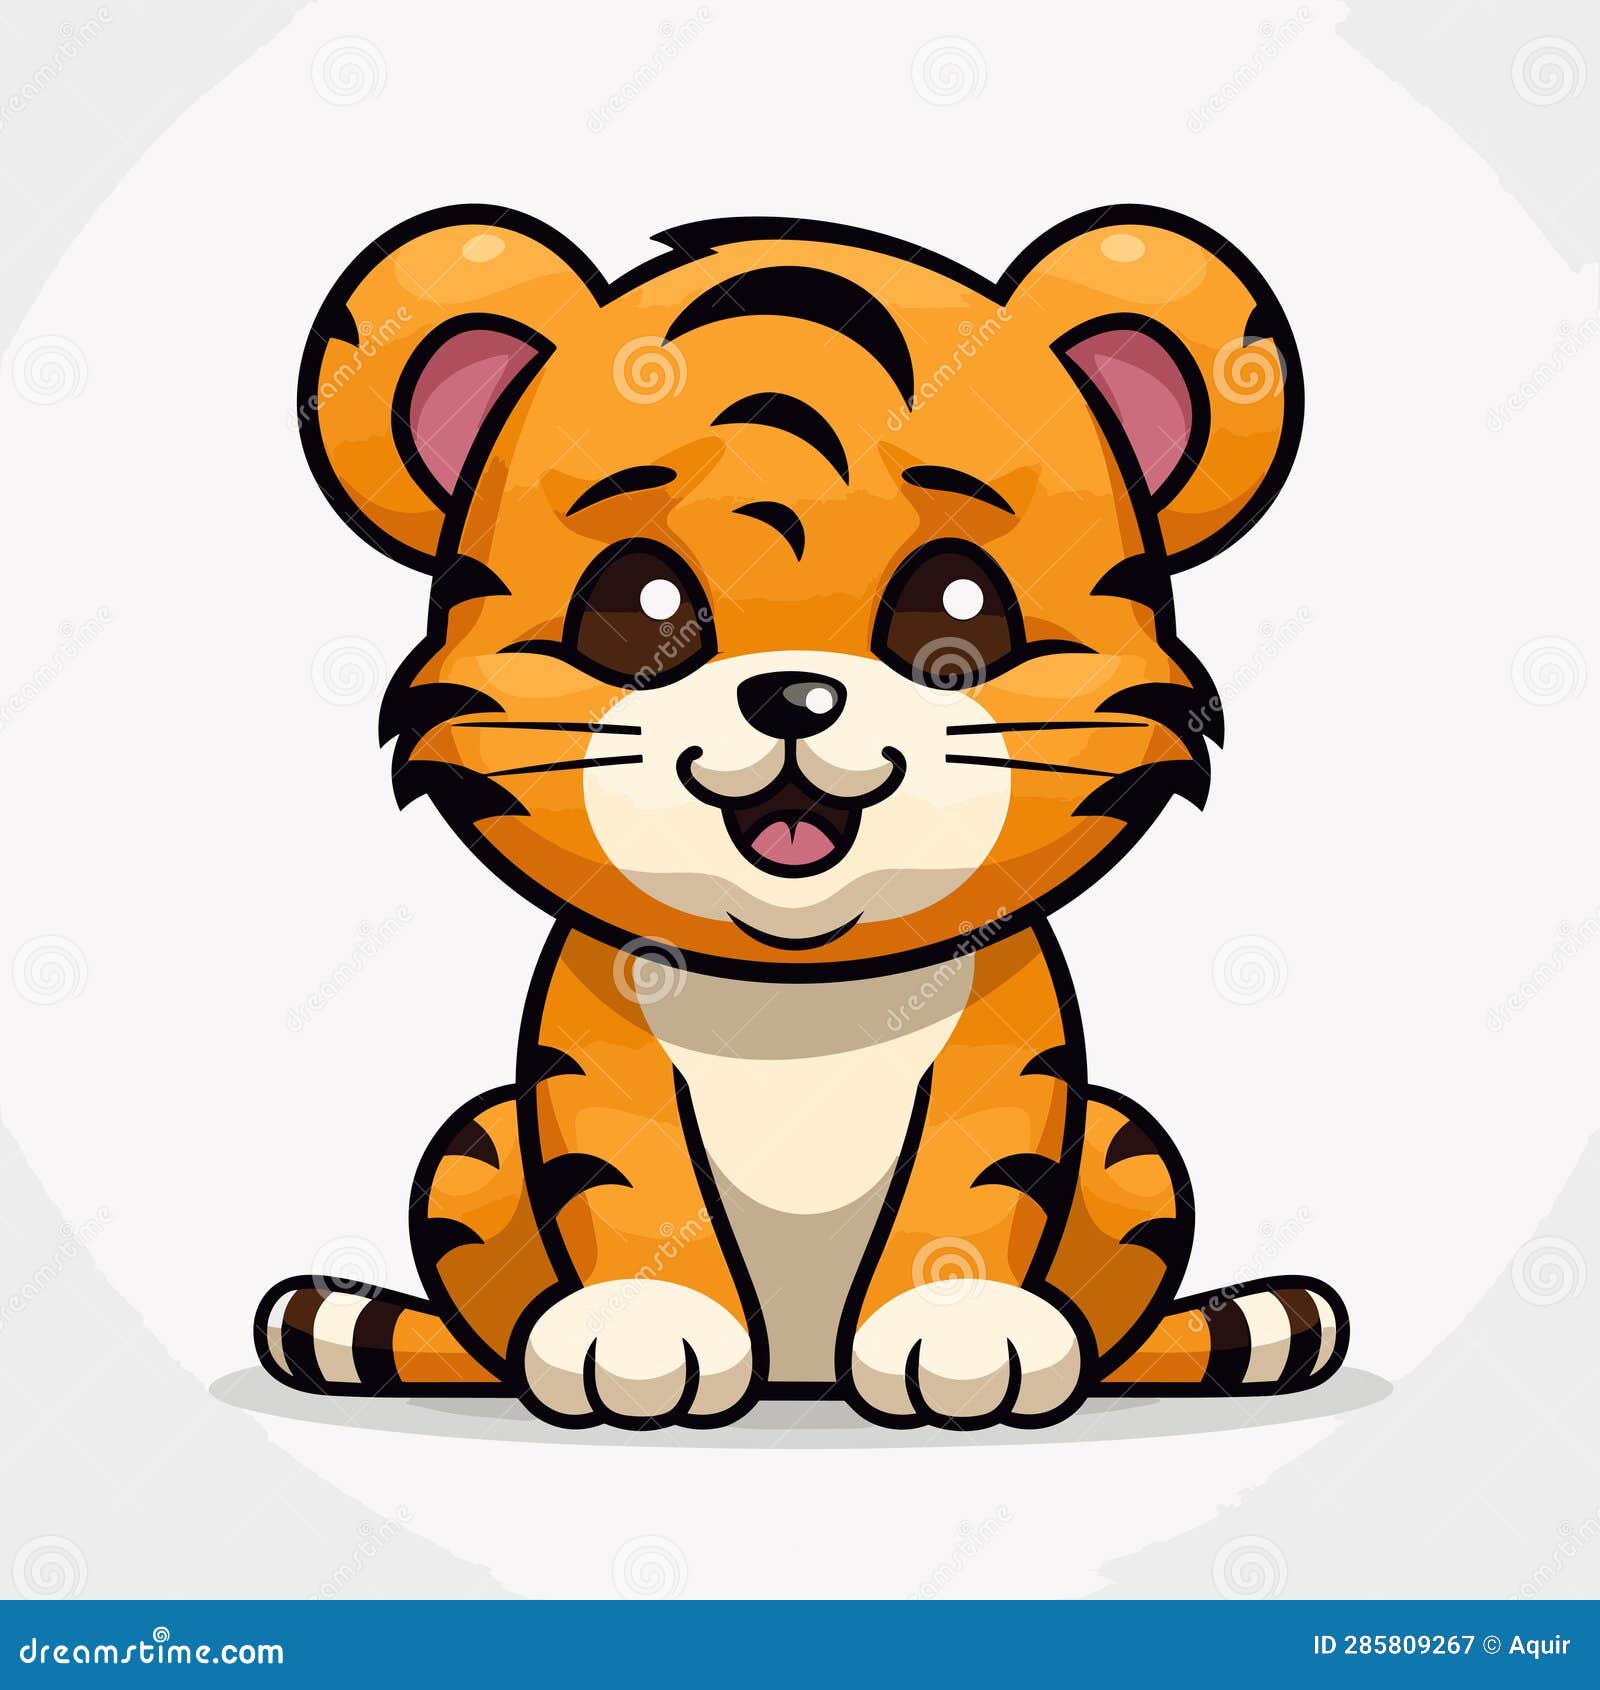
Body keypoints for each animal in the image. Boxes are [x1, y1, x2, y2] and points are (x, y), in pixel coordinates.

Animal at [255, 204, 1348, 1429]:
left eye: (958, 602)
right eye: (638, 604)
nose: (791, 695)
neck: (797, 994)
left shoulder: (1005, 1055)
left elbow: (974, 1185)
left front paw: (960, 1333)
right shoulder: (597, 1051)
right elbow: (629, 1184)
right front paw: (641, 1331)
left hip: (1127, 1150)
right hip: (476, 1150)